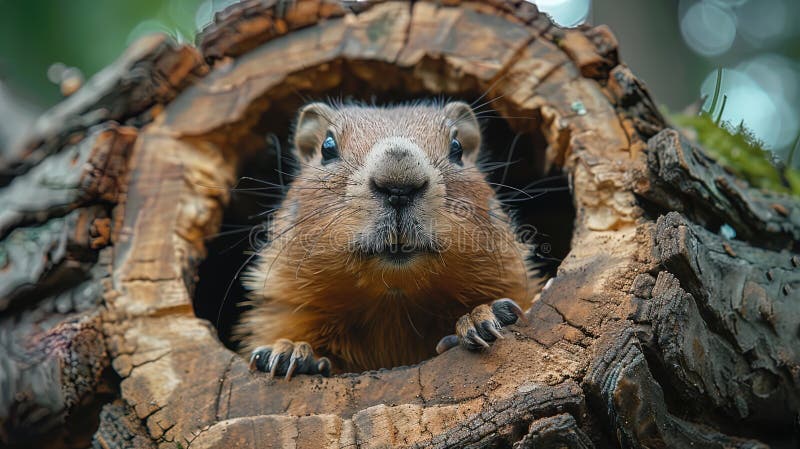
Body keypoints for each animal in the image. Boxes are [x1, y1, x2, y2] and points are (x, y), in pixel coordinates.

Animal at [235, 101, 535, 379]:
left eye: (457, 147)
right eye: (327, 147)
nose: (399, 186)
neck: (393, 307)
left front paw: (484, 317)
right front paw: (287, 353)